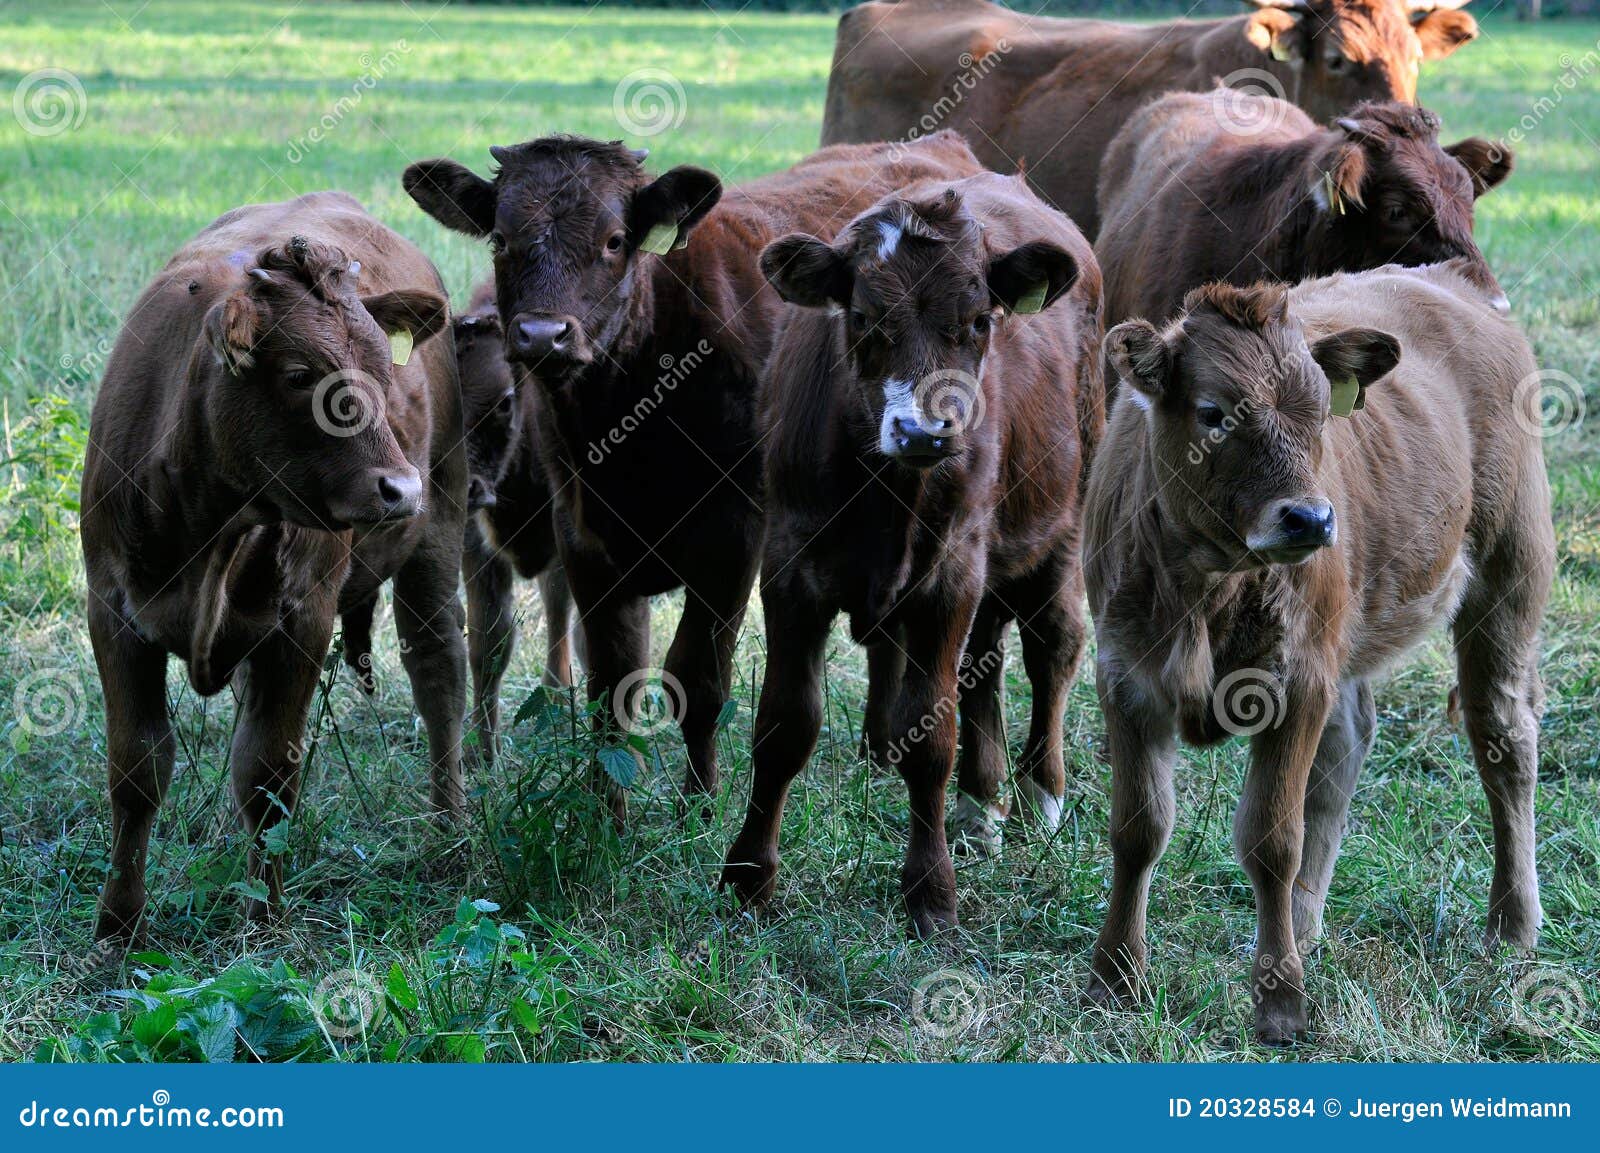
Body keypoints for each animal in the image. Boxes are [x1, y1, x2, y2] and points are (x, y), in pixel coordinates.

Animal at [81, 193, 468, 942]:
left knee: (440, 676)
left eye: (385, 372)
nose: (399, 488)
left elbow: (267, 775)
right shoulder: (111, 609)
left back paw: (452, 835)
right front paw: (117, 924)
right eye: (299, 376)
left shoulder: (303, 620)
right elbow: (137, 769)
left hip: (441, 527)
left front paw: (264, 918)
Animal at [402, 131, 987, 821]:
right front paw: (607, 812)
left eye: (615, 240)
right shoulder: (583, 537)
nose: (543, 335)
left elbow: (699, 679)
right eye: (499, 238)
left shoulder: (735, 537)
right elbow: (610, 683)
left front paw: (700, 806)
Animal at [722, 171, 1103, 936]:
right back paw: (981, 806)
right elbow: (783, 723)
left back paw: (1040, 794)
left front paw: (930, 892)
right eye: (866, 318)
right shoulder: (789, 566)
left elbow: (929, 735)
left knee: (1054, 644)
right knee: (987, 661)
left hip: (1063, 523)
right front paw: (750, 876)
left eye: (980, 320)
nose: (928, 430)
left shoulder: (949, 578)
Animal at [1084, 264, 1553, 1043]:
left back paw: (1512, 926)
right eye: (1214, 413)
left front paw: (1279, 1001)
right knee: (1347, 748)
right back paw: (1303, 930)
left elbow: (1273, 839)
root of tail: (1448, 279)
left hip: (1510, 574)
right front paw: (1115, 976)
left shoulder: (1295, 684)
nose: (1309, 518)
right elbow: (1137, 829)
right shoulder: (1126, 676)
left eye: (1318, 416)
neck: (1209, 586)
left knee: (1505, 742)